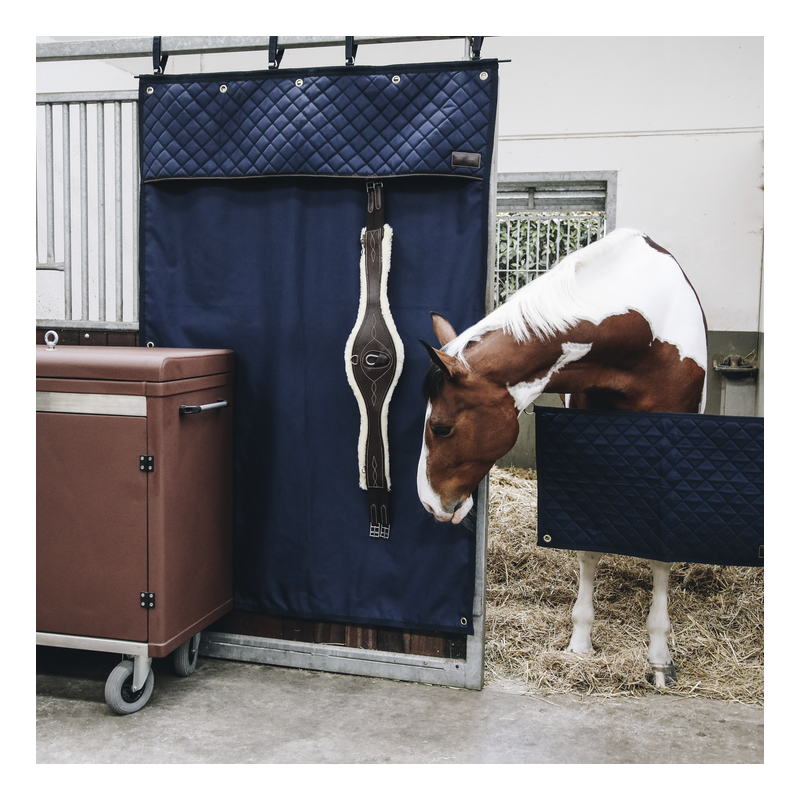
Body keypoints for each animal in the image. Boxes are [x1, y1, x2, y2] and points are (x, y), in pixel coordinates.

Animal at [417, 228, 707, 687]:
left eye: (442, 427)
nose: (430, 504)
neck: (640, 335)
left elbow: (661, 555)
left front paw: (659, 657)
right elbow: (588, 547)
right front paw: (580, 642)